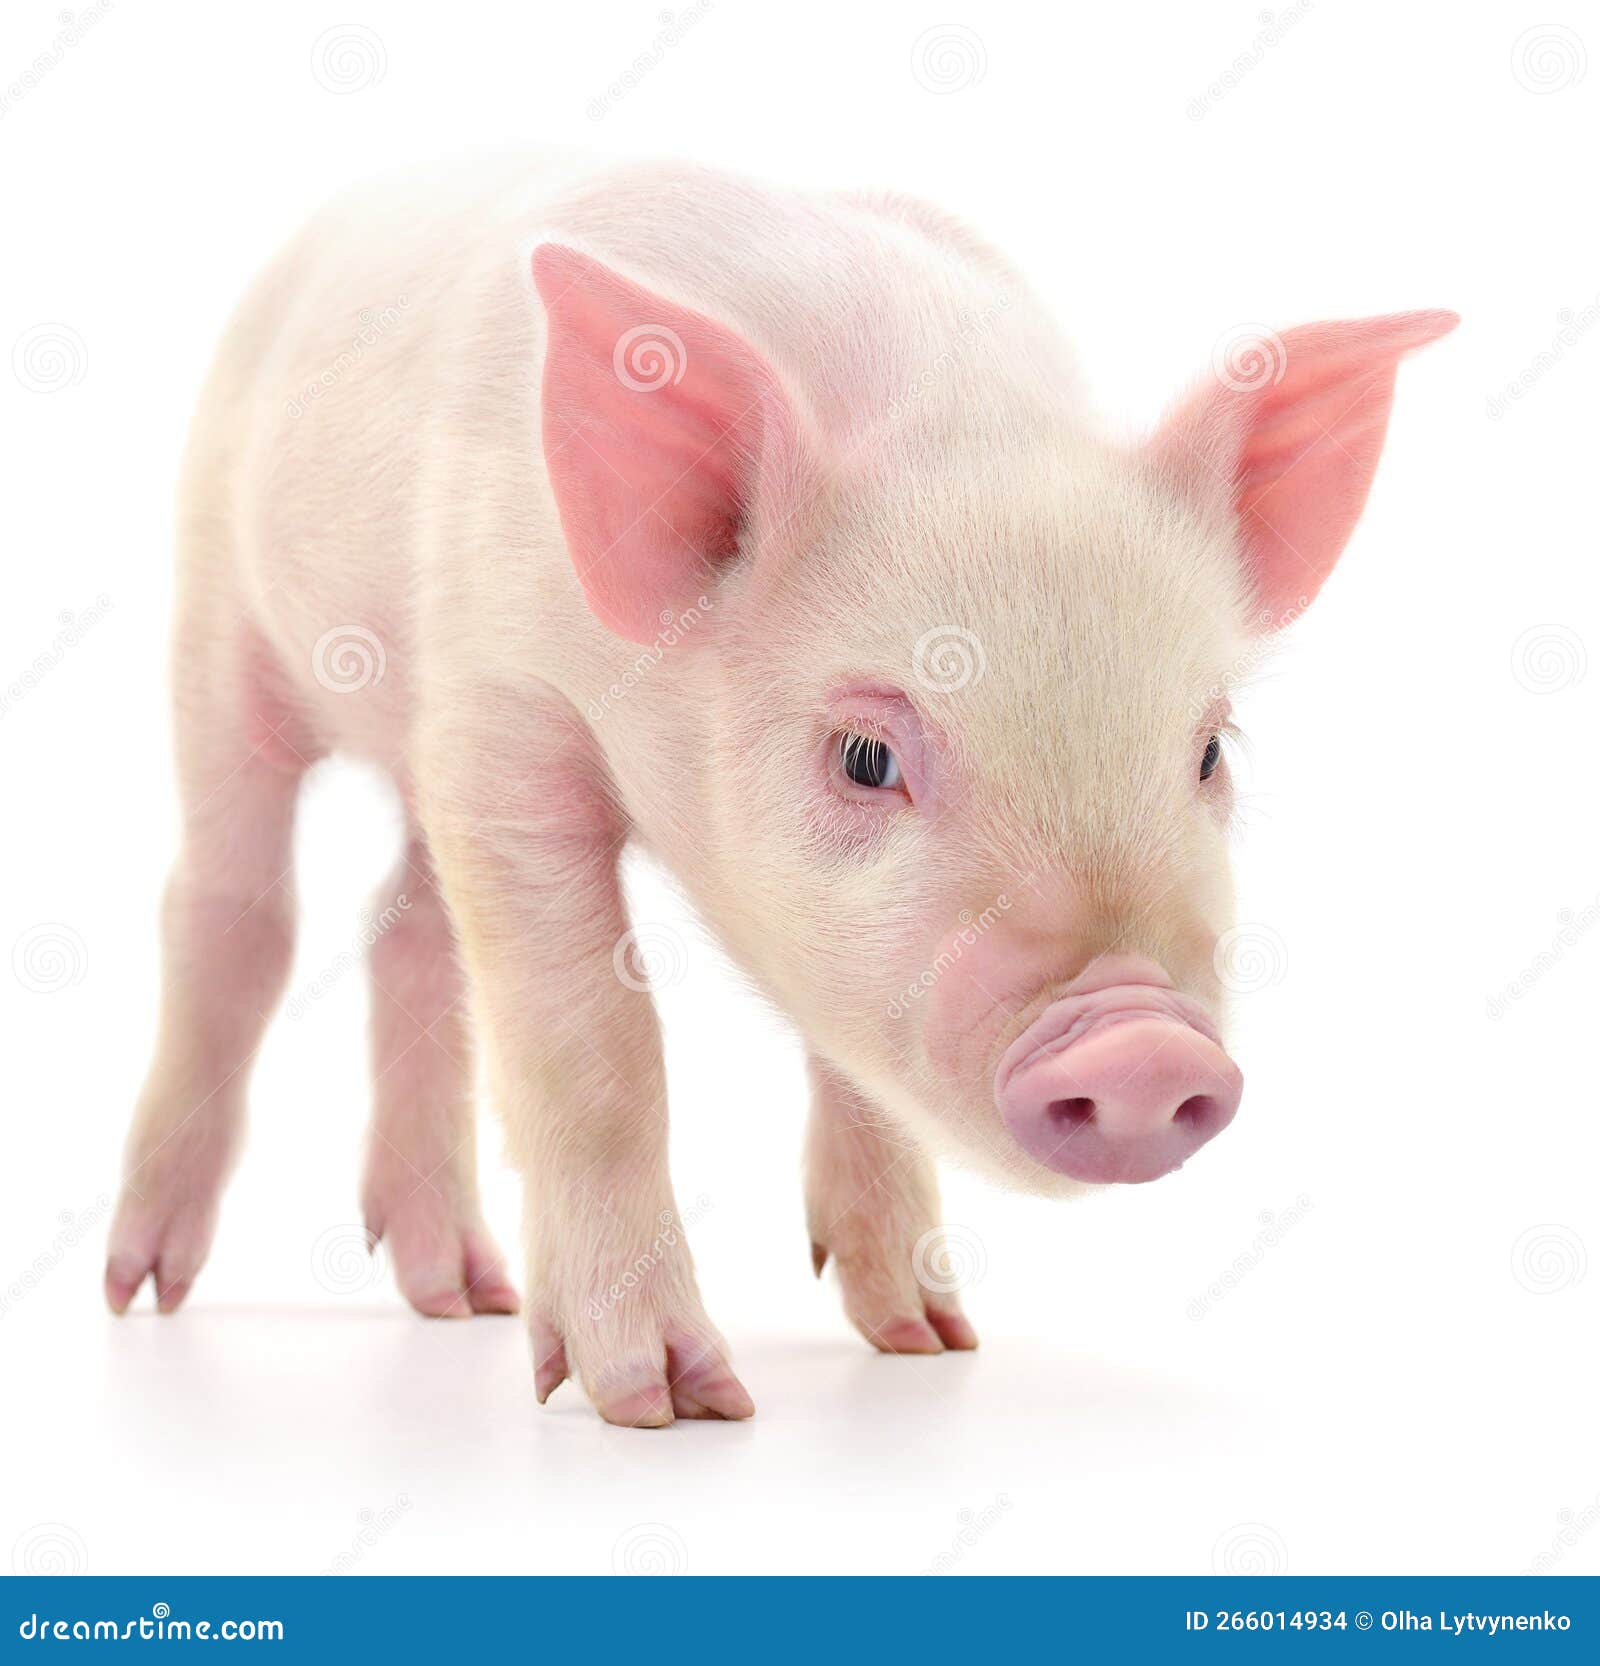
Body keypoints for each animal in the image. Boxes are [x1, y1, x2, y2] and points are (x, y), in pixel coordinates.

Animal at [105, 149, 1455, 1425]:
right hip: (215, 603)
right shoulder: (498, 701)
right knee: (231, 905)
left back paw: (458, 1300)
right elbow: (593, 1040)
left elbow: (844, 1052)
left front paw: (928, 1338)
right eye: (864, 756)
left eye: (1209, 749)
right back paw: (144, 1290)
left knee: (408, 936)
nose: (1138, 1042)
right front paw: (671, 1400)